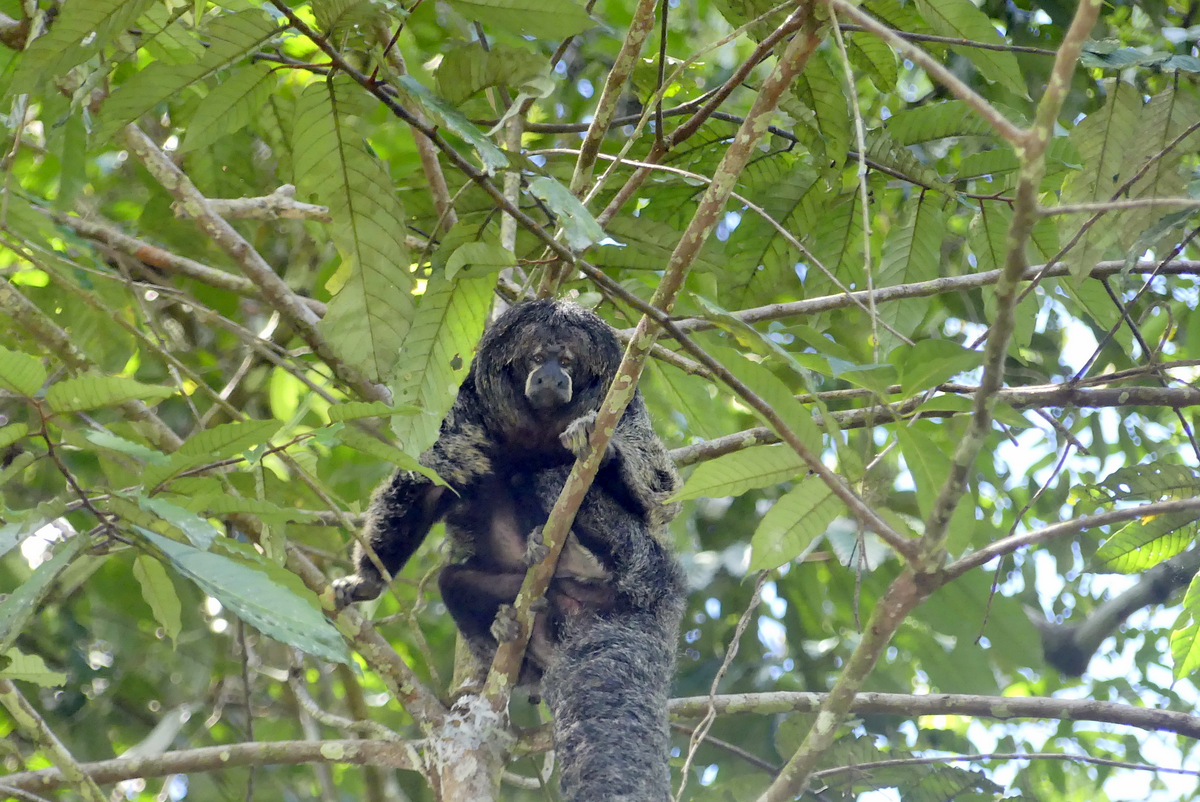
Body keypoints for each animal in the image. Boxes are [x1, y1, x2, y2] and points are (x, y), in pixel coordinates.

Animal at [331, 299, 684, 801]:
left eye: (569, 361)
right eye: (537, 357)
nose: (552, 376)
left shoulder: (627, 411)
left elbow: (657, 496)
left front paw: (607, 450)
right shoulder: (467, 413)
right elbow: (429, 483)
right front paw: (365, 581)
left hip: (644, 568)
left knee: (553, 480)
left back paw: (574, 551)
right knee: (454, 580)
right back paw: (517, 633)